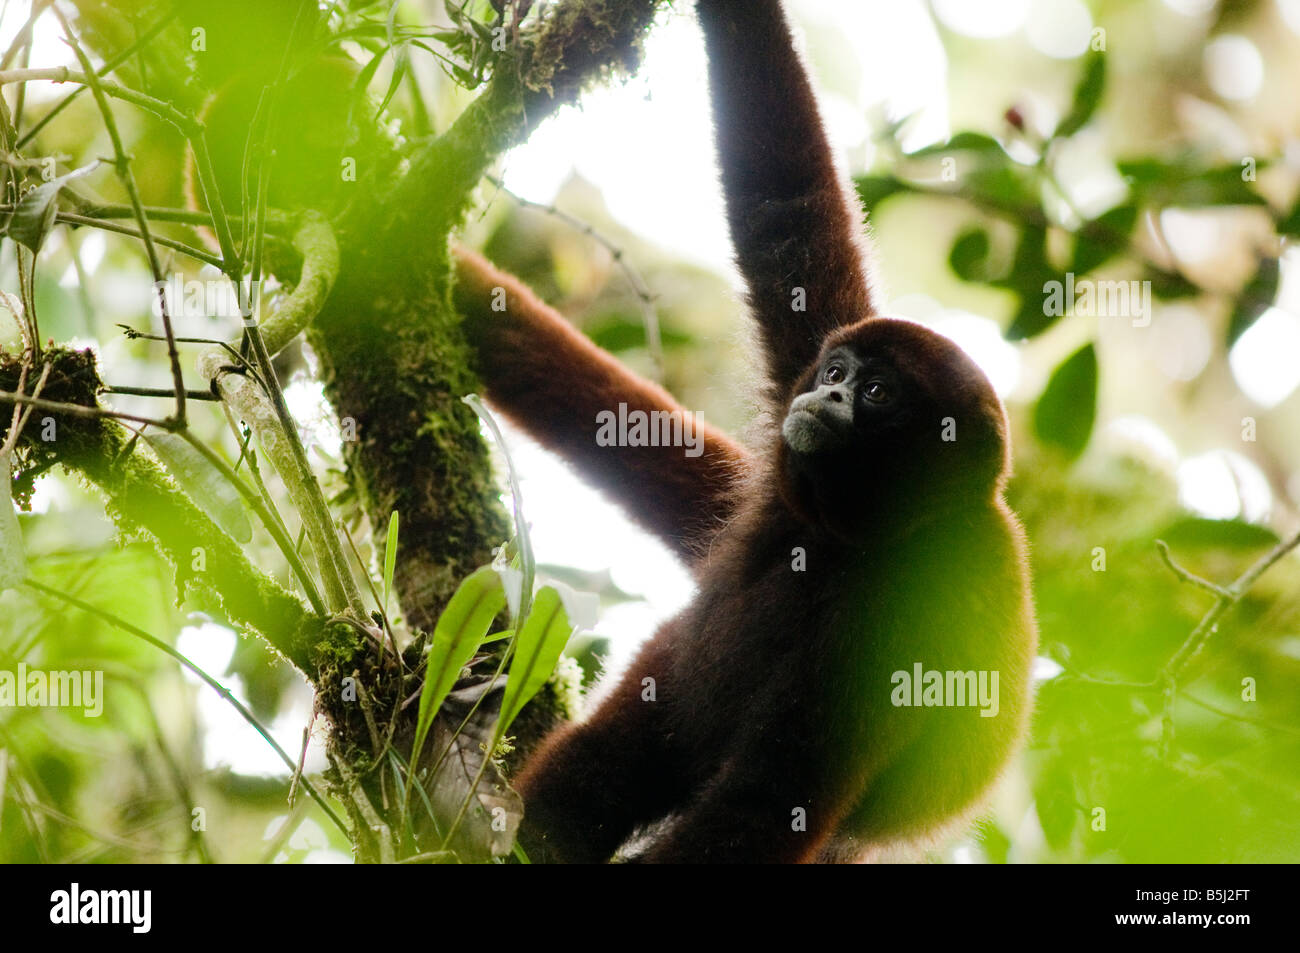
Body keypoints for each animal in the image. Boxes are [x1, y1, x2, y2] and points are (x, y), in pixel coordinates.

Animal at [451, 0, 1038, 862]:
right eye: (838, 369)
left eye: (877, 393)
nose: (826, 396)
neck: (854, 534)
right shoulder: (813, 345)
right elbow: (784, 202)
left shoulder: (916, 613)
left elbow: (765, 801)